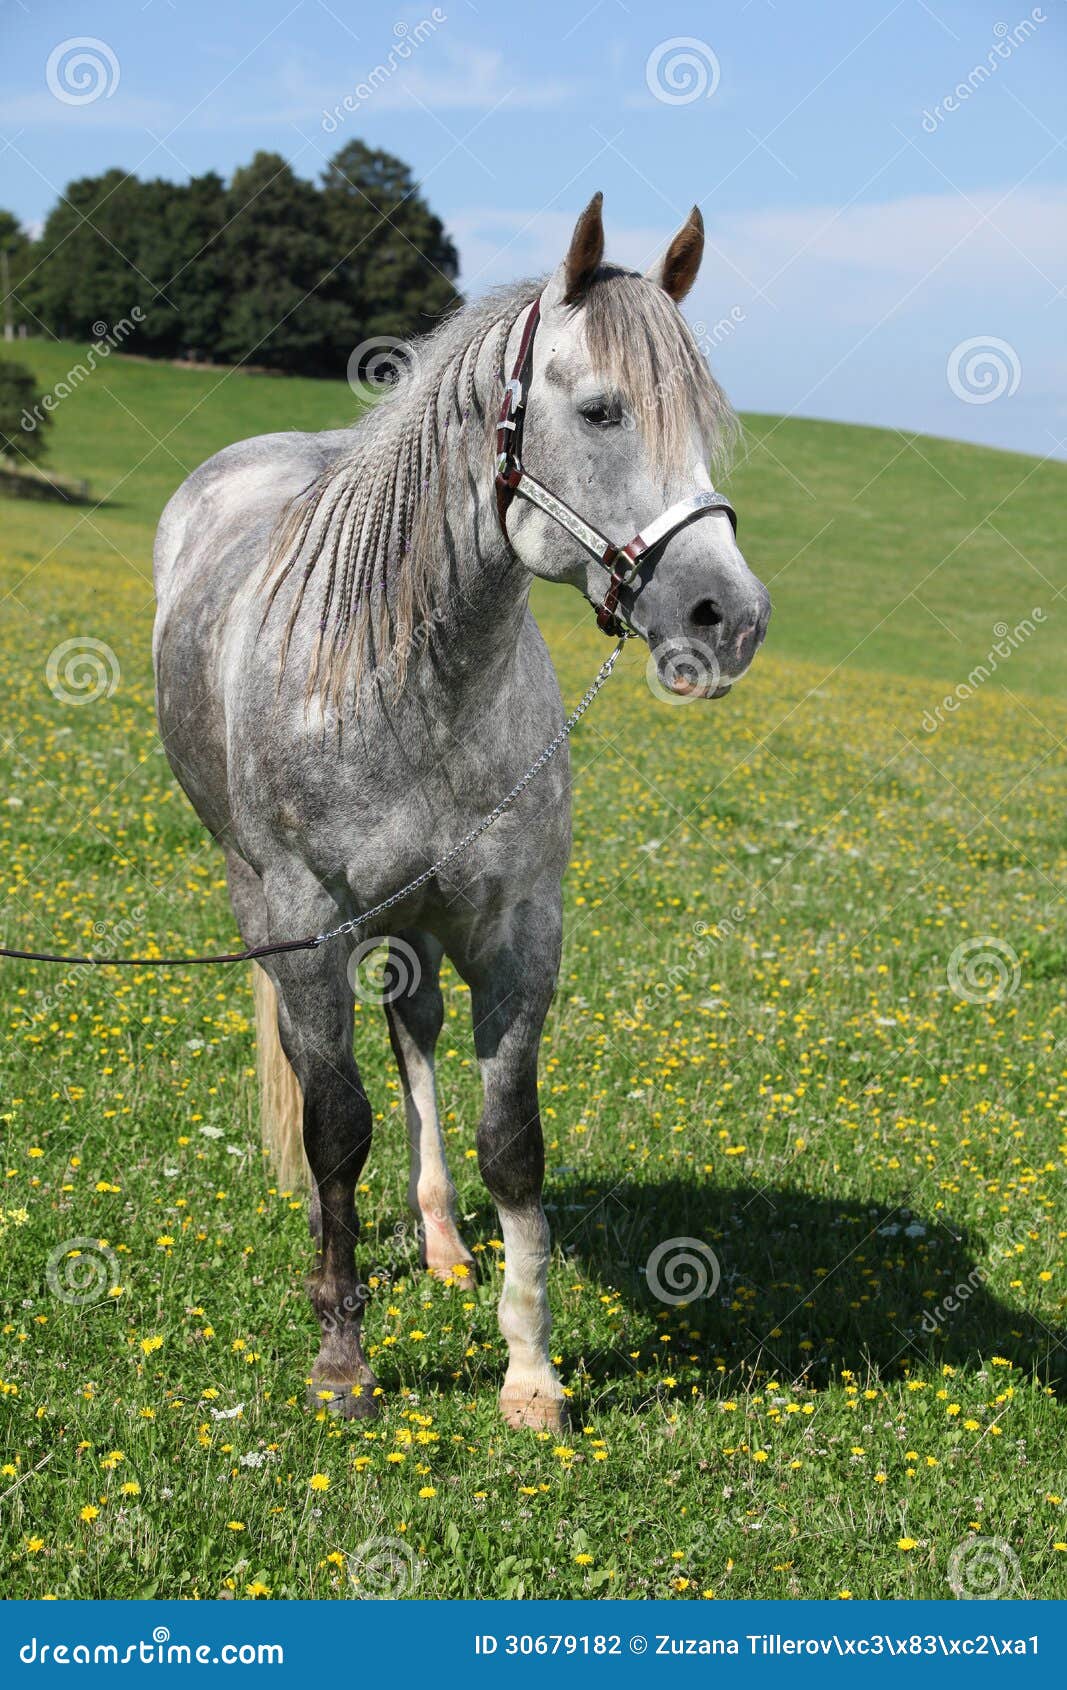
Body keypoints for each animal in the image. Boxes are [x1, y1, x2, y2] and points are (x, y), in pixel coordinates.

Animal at [152, 194, 770, 1430]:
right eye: (600, 409)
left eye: (705, 426)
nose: (728, 619)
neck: (407, 670)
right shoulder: (308, 925)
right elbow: (335, 1126)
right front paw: (342, 1358)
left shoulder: (516, 930)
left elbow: (511, 1142)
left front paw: (529, 1371)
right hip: (270, 904)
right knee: (321, 1077)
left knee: (414, 1033)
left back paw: (440, 1240)